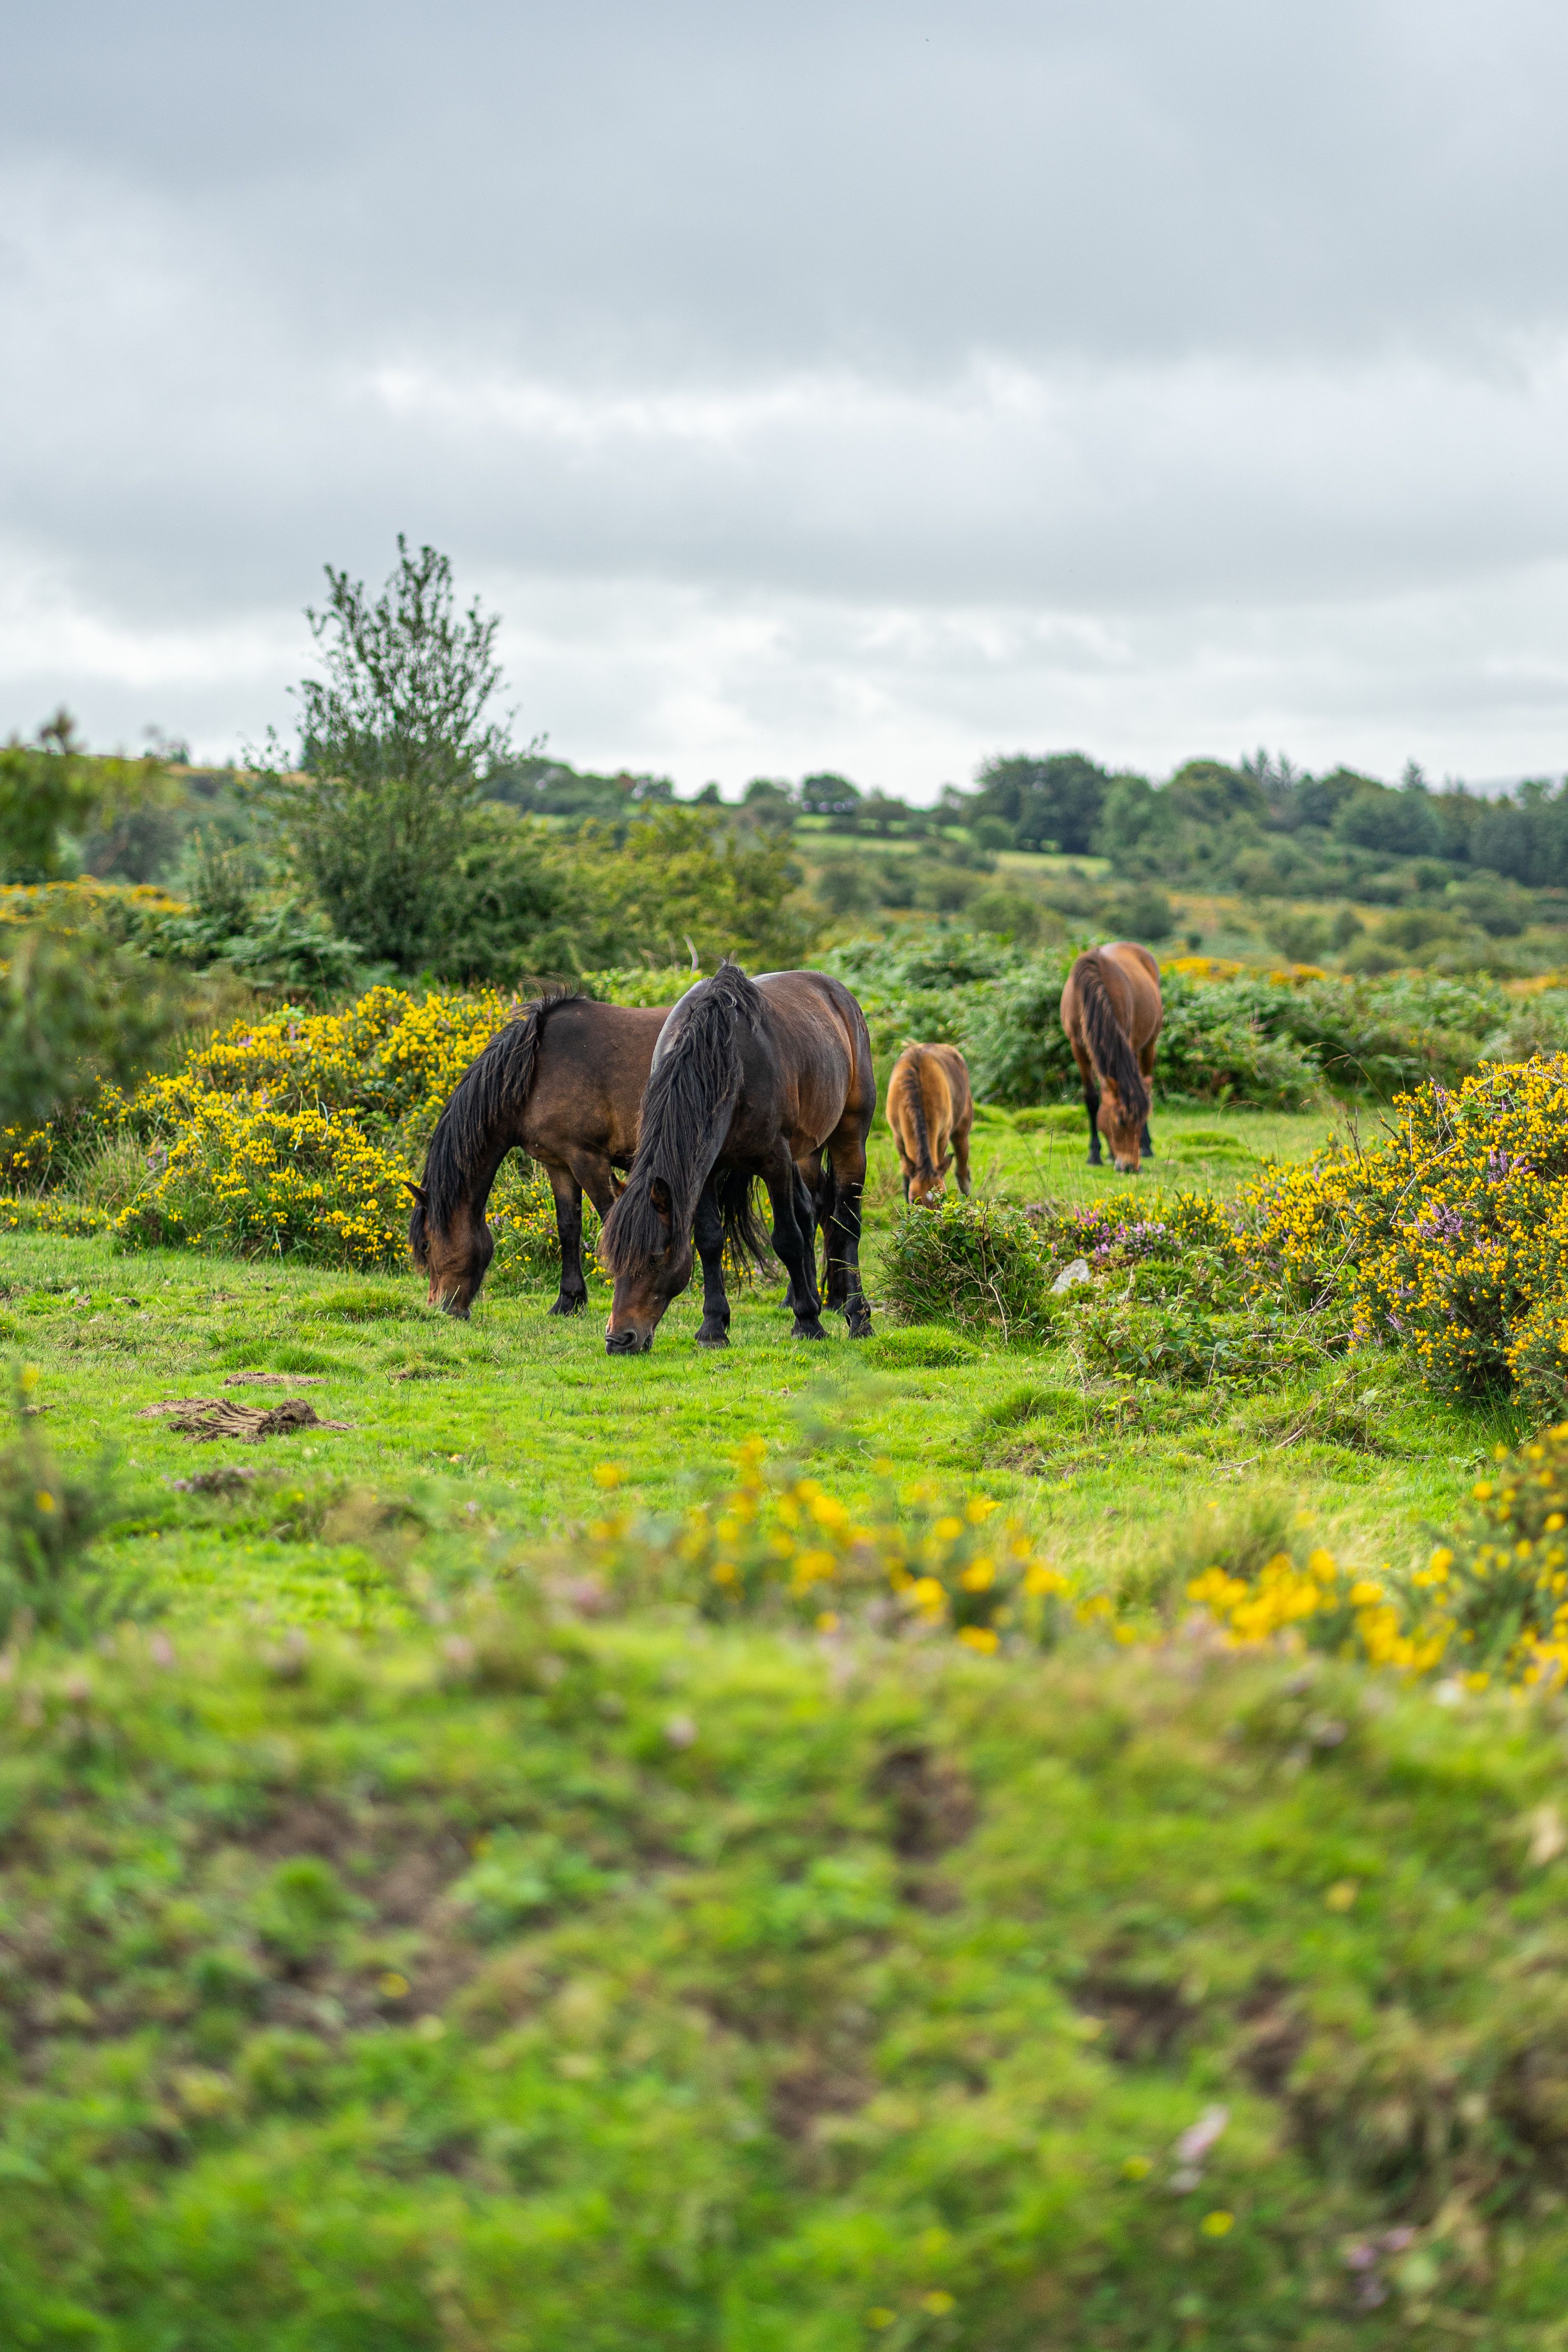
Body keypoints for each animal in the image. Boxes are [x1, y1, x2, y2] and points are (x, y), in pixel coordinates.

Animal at [599, 961, 876, 1354]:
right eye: (611, 1259)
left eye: (654, 1257)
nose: (618, 1339)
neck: (724, 1061)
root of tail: (839, 994)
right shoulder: (705, 1168)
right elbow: (710, 1241)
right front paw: (713, 1327)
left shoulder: (775, 1162)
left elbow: (786, 1240)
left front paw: (808, 1323)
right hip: (805, 1153)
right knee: (809, 1212)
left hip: (850, 1137)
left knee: (846, 1224)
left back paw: (857, 1318)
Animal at [885, 1042, 974, 1205]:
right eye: (913, 1200)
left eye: (942, 1200)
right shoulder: (898, 1139)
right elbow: (906, 1180)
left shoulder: (942, 1137)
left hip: (961, 1131)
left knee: (963, 1173)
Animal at [1060, 941, 1162, 1173]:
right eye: (1120, 1121)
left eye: (1142, 1119)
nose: (1131, 1167)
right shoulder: (1078, 1048)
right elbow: (1092, 1099)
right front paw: (1095, 1154)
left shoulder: (1126, 1041)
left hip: (1149, 1045)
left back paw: (1147, 1147)